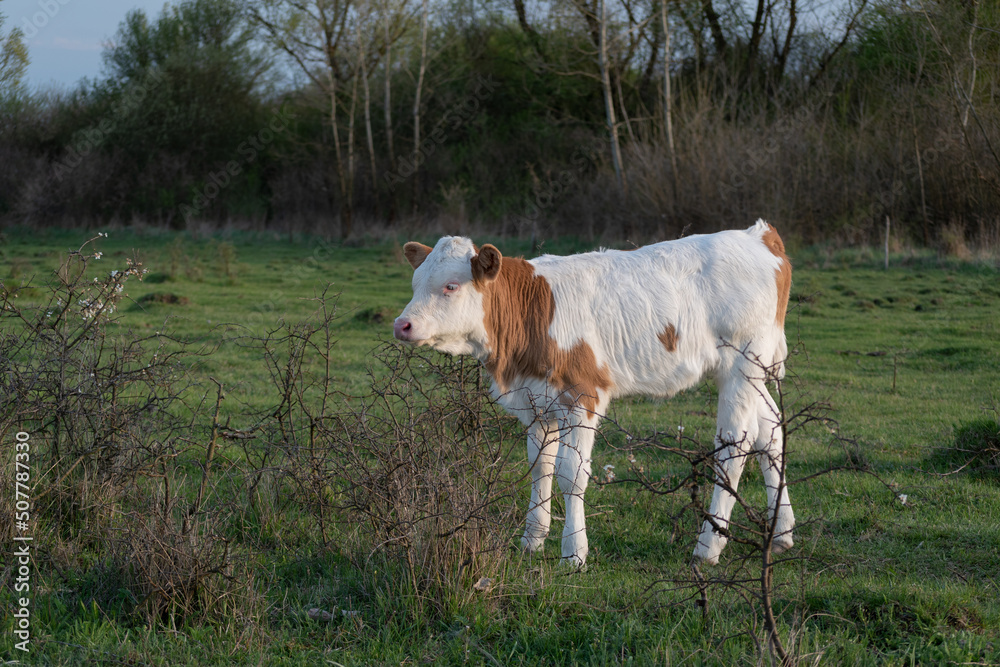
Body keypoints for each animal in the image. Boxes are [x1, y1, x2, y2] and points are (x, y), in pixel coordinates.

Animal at [393, 220, 794, 566]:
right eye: (415, 283)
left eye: (451, 285)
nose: (402, 324)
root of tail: (758, 235)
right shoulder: (536, 399)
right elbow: (541, 466)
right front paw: (532, 539)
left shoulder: (582, 395)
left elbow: (572, 473)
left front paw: (573, 552)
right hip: (753, 372)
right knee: (771, 431)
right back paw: (782, 532)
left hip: (741, 366)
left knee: (735, 446)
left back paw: (708, 547)